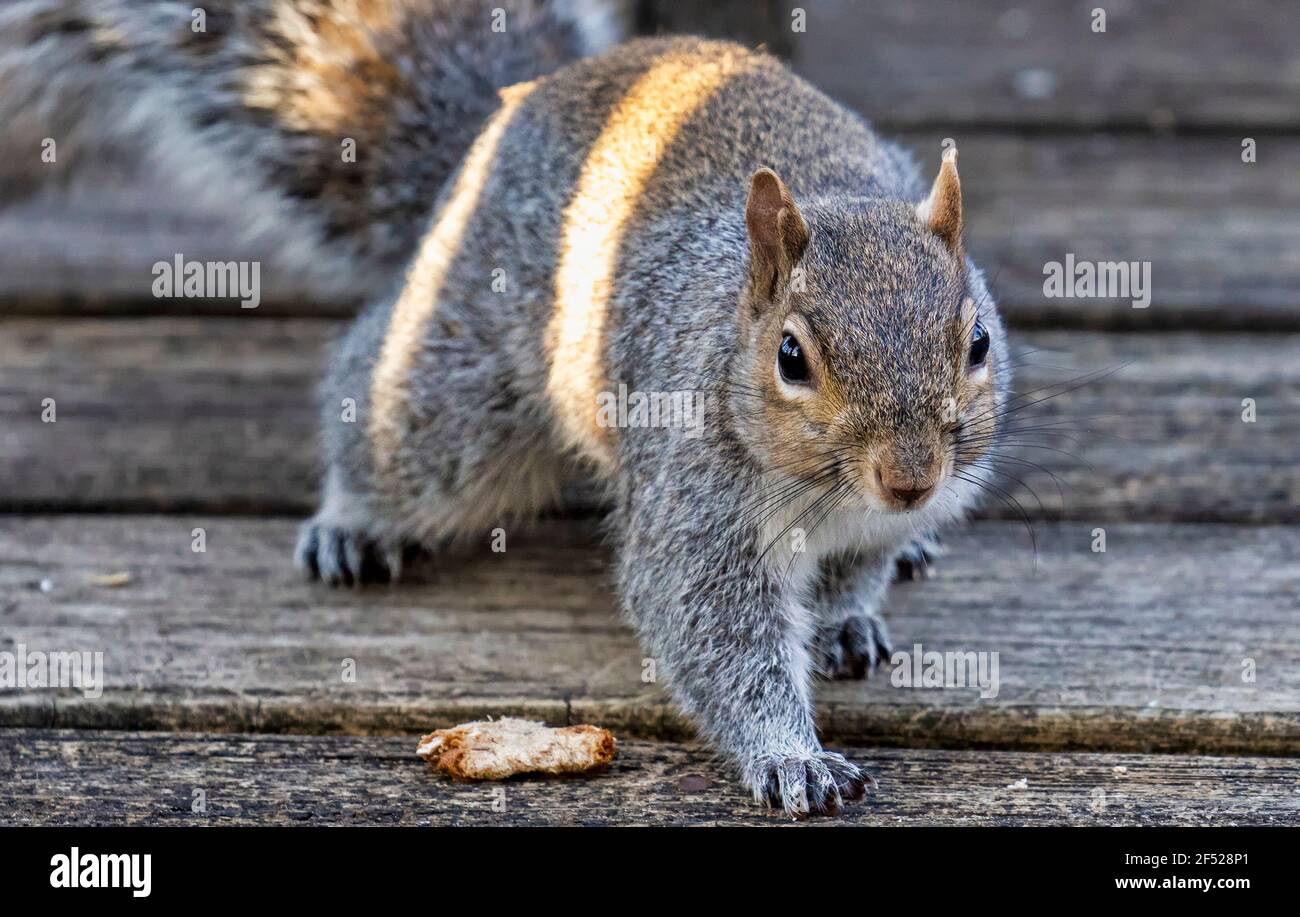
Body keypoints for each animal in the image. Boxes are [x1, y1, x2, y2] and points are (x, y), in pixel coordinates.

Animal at [3, 1, 1009, 816]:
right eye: (791, 357)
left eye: (980, 342)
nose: (912, 479)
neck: (826, 494)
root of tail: (505, 111)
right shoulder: (694, 494)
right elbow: (706, 620)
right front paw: (790, 756)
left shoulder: (869, 521)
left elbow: (852, 573)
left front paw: (848, 616)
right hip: (463, 400)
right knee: (381, 405)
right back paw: (350, 519)